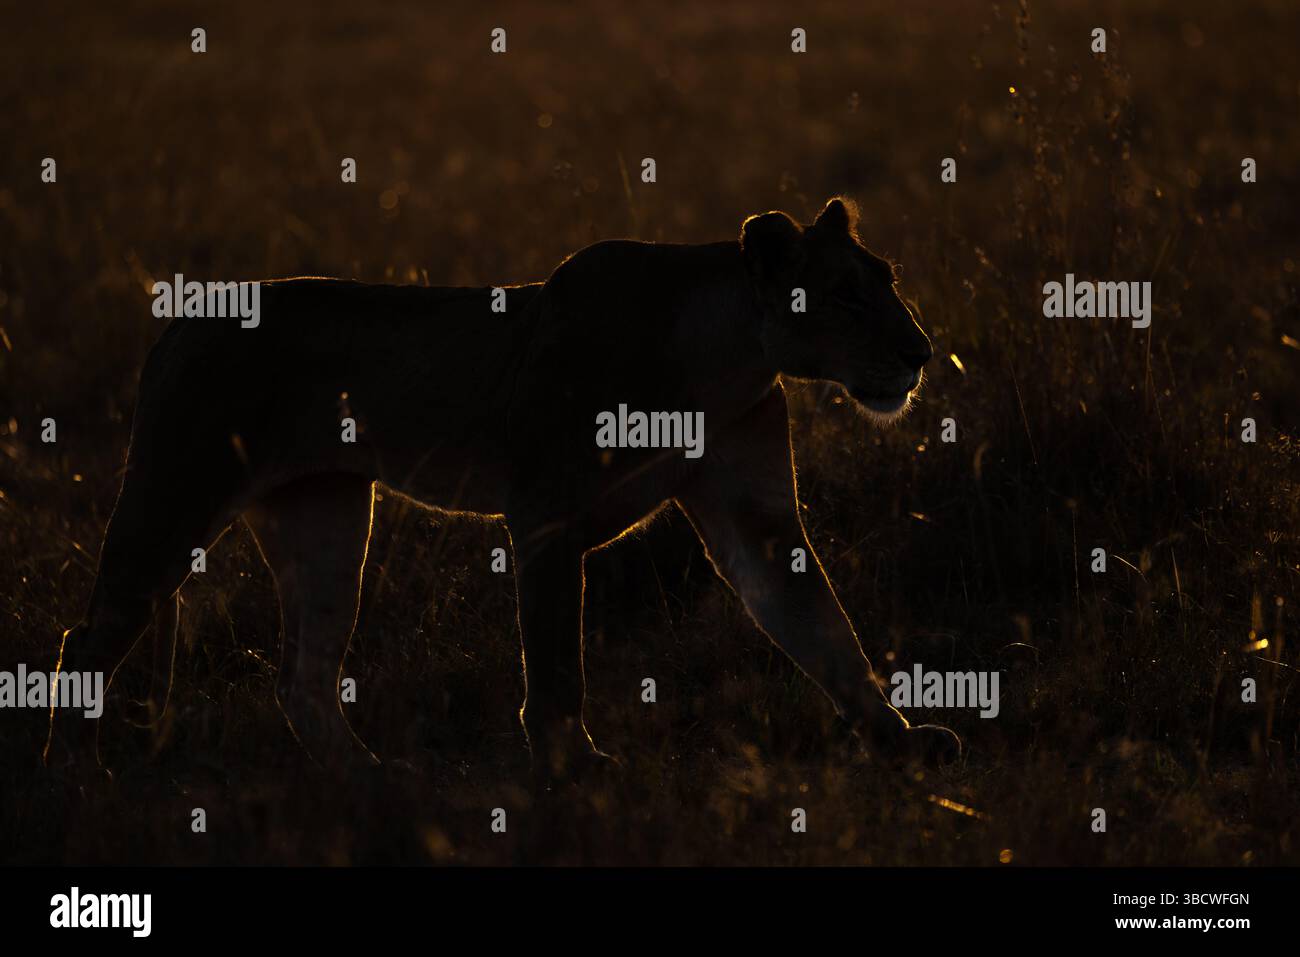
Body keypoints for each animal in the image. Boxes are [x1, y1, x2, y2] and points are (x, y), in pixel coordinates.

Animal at [46, 197, 959, 781]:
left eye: (886, 279)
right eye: (844, 295)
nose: (919, 351)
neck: (725, 358)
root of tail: (180, 318)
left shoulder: (756, 513)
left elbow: (824, 629)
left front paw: (900, 739)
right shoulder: (546, 511)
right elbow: (556, 656)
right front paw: (572, 765)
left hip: (328, 519)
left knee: (301, 680)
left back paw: (375, 779)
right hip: (173, 499)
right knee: (83, 641)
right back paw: (67, 773)